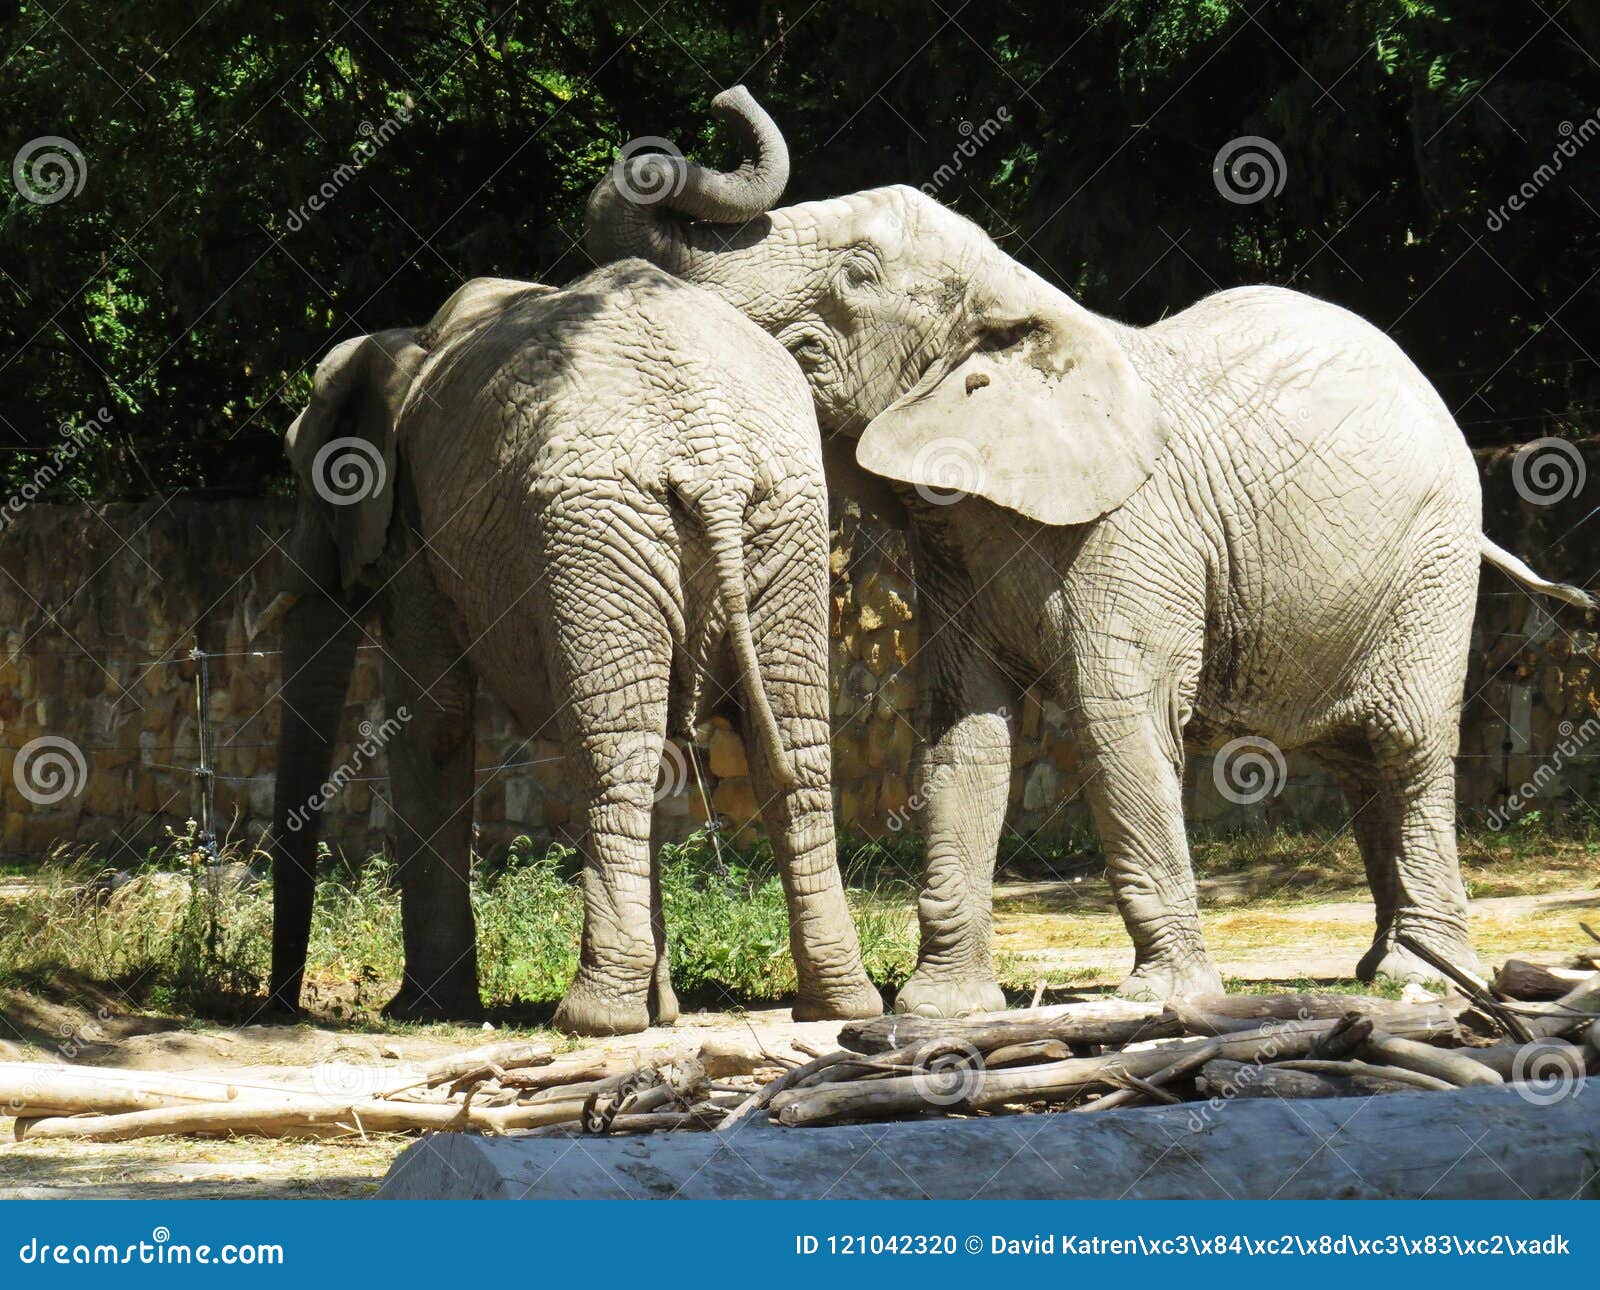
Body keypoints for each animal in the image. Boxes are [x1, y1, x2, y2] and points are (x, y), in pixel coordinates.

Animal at [266, 259, 883, 1035]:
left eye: (306, 479)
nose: (277, 1008)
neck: (404, 342)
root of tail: (709, 460)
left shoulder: (415, 534)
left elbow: (433, 725)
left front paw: (420, 1010)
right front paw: (662, 1011)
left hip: (597, 536)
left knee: (614, 753)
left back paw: (592, 1018)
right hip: (775, 527)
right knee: (786, 752)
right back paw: (833, 1004)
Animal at [585, 88, 1596, 1014]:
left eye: (859, 274)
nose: (724, 102)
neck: (1021, 298)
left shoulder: (1130, 534)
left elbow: (1120, 727)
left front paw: (1162, 1001)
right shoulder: (958, 554)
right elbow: (962, 736)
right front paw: (942, 1013)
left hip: (1431, 563)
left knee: (1407, 748)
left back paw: (1418, 980)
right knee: (1356, 763)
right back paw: (1392, 970)